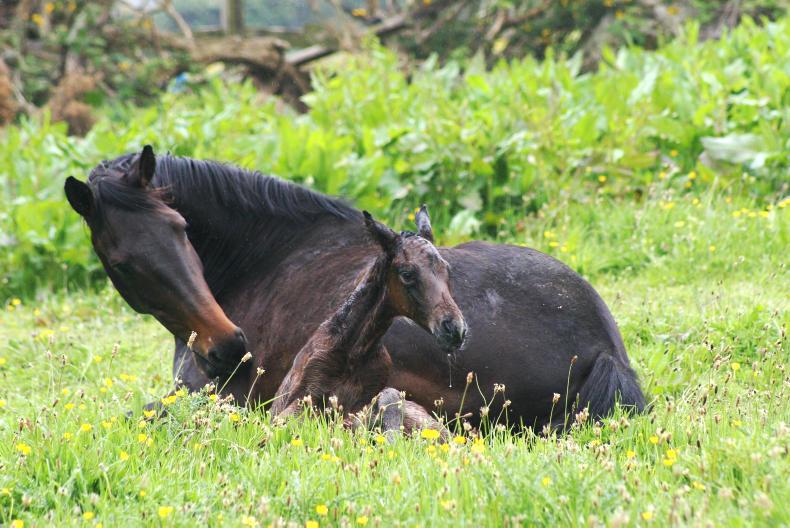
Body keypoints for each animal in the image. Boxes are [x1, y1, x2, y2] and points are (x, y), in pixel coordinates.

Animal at [272, 208, 462, 435]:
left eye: (448, 270)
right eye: (407, 274)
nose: (455, 330)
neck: (355, 352)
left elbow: (385, 401)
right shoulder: (301, 401)